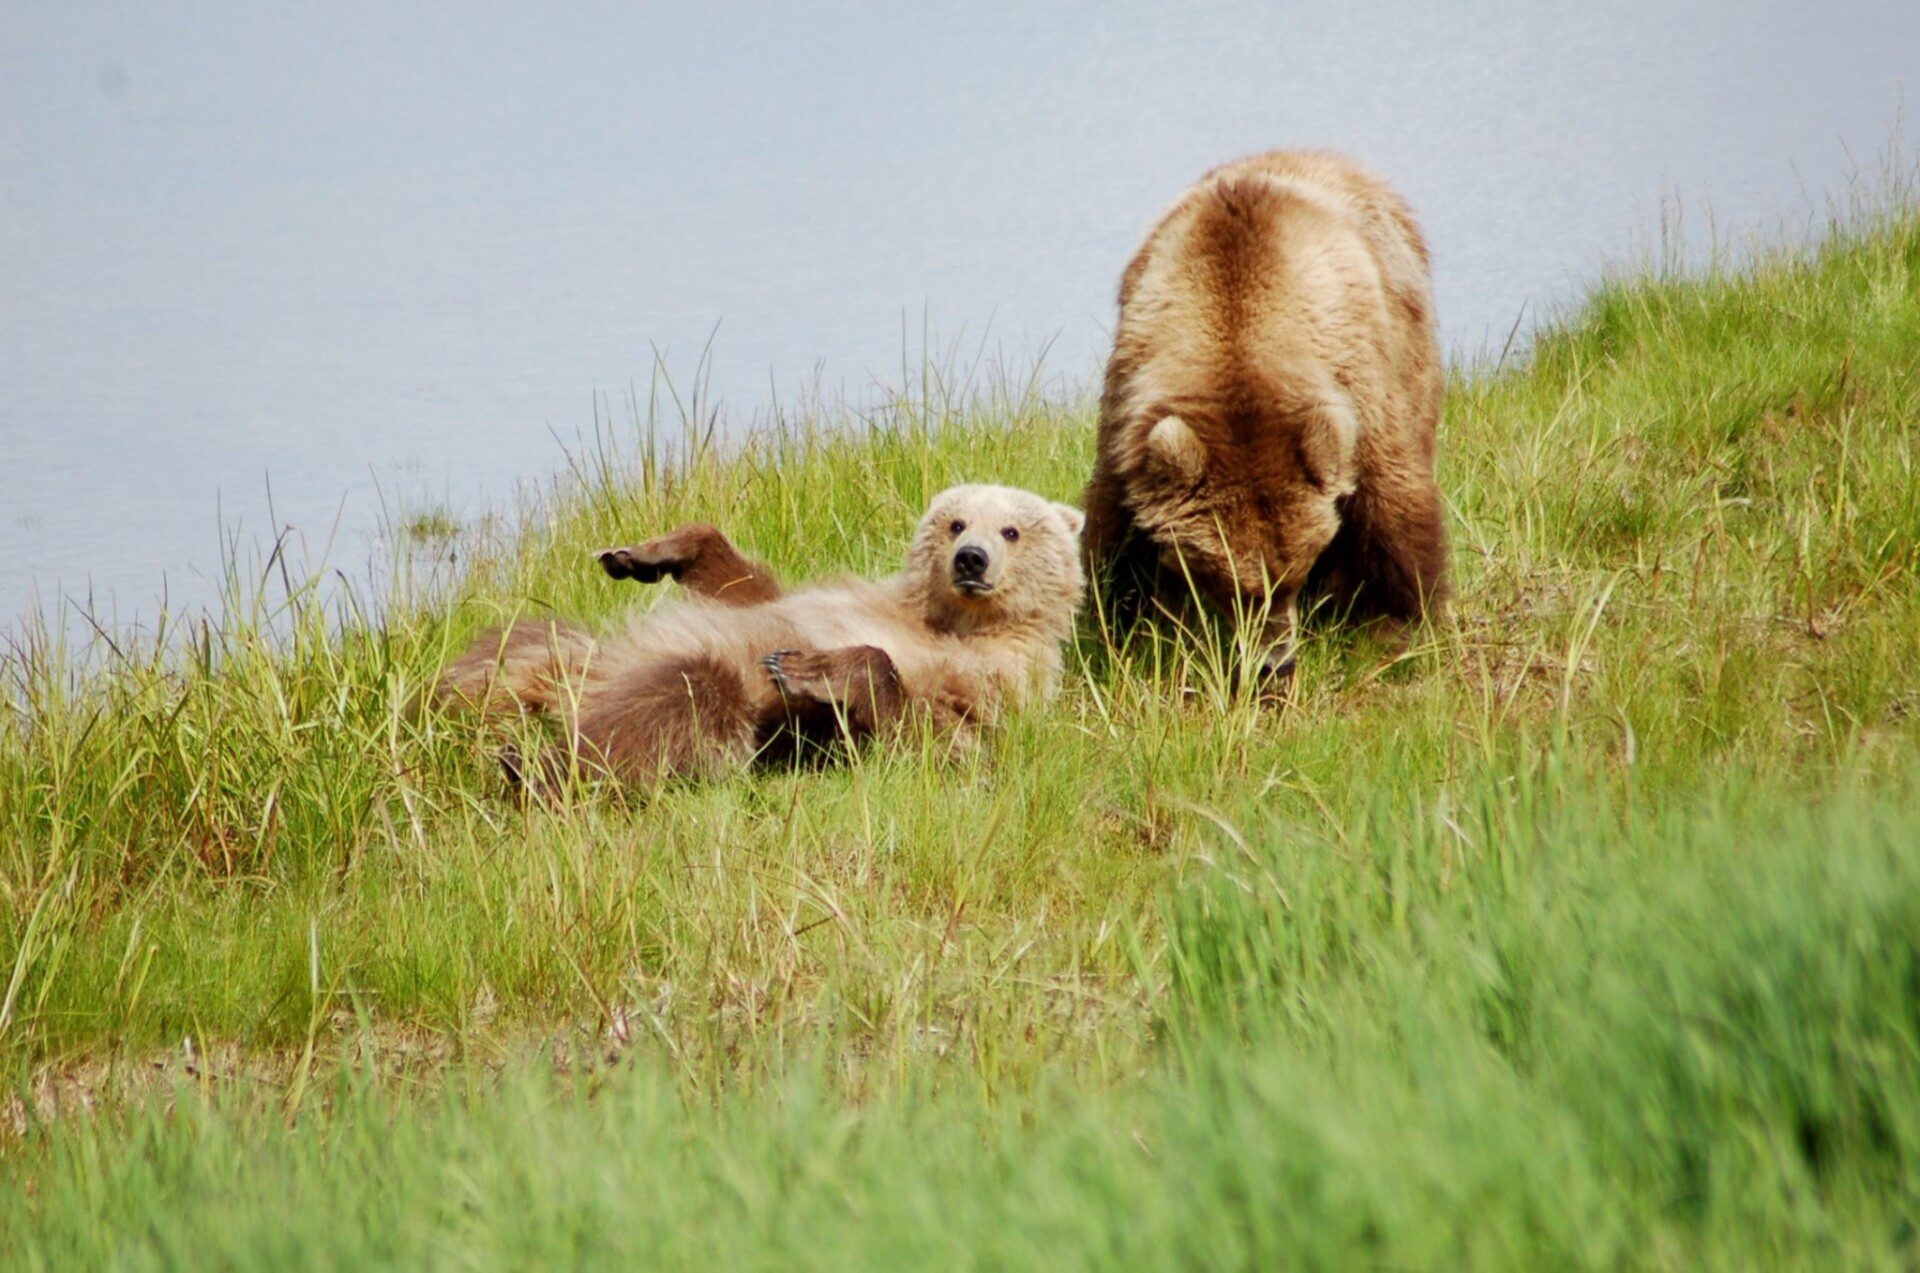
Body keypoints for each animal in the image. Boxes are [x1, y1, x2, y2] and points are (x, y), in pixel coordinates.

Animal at [431, 484, 1086, 792]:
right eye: (955, 522)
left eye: (1012, 529)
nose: (971, 558)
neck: (952, 620)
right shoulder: (855, 596)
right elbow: (751, 588)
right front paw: (641, 553)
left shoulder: (998, 681)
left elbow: (944, 744)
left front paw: (810, 667)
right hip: (566, 648)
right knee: (514, 644)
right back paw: (450, 701)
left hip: (712, 700)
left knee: (683, 695)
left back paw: (531, 765)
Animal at [1081, 149, 1447, 687]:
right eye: (1229, 584)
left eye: (1293, 574)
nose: (1275, 664)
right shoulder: (1130, 405)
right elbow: (1118, 531)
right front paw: (1124, 627)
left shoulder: (1362, 383)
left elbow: (1391, 502)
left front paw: (1396, 625)